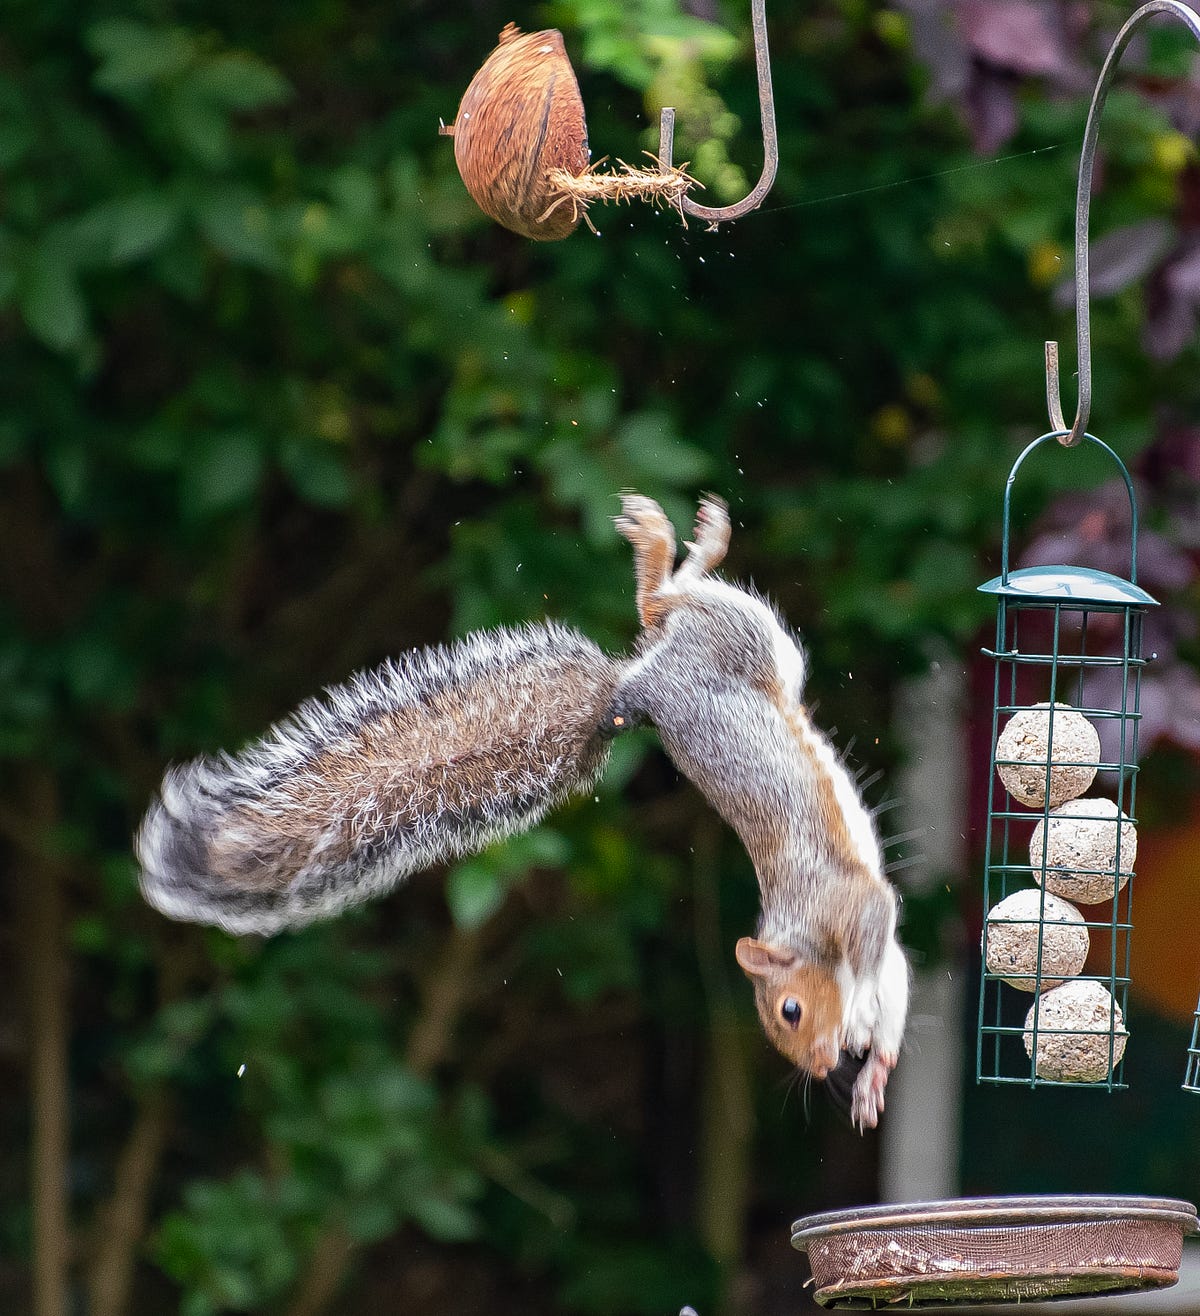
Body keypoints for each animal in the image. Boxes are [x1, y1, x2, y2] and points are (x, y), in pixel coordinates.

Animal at [137, 493, 909, 1129]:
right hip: (741, 644)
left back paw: (679, 541)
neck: (808, 937)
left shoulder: (855, 911)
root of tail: (630, 692)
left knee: (667, 605)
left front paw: (872, 1061)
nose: (820, 1066)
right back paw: (671, 545)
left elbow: (888, 967)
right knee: (665, 603)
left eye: (791, 1009)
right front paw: (866, 1061)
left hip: (739, 642)